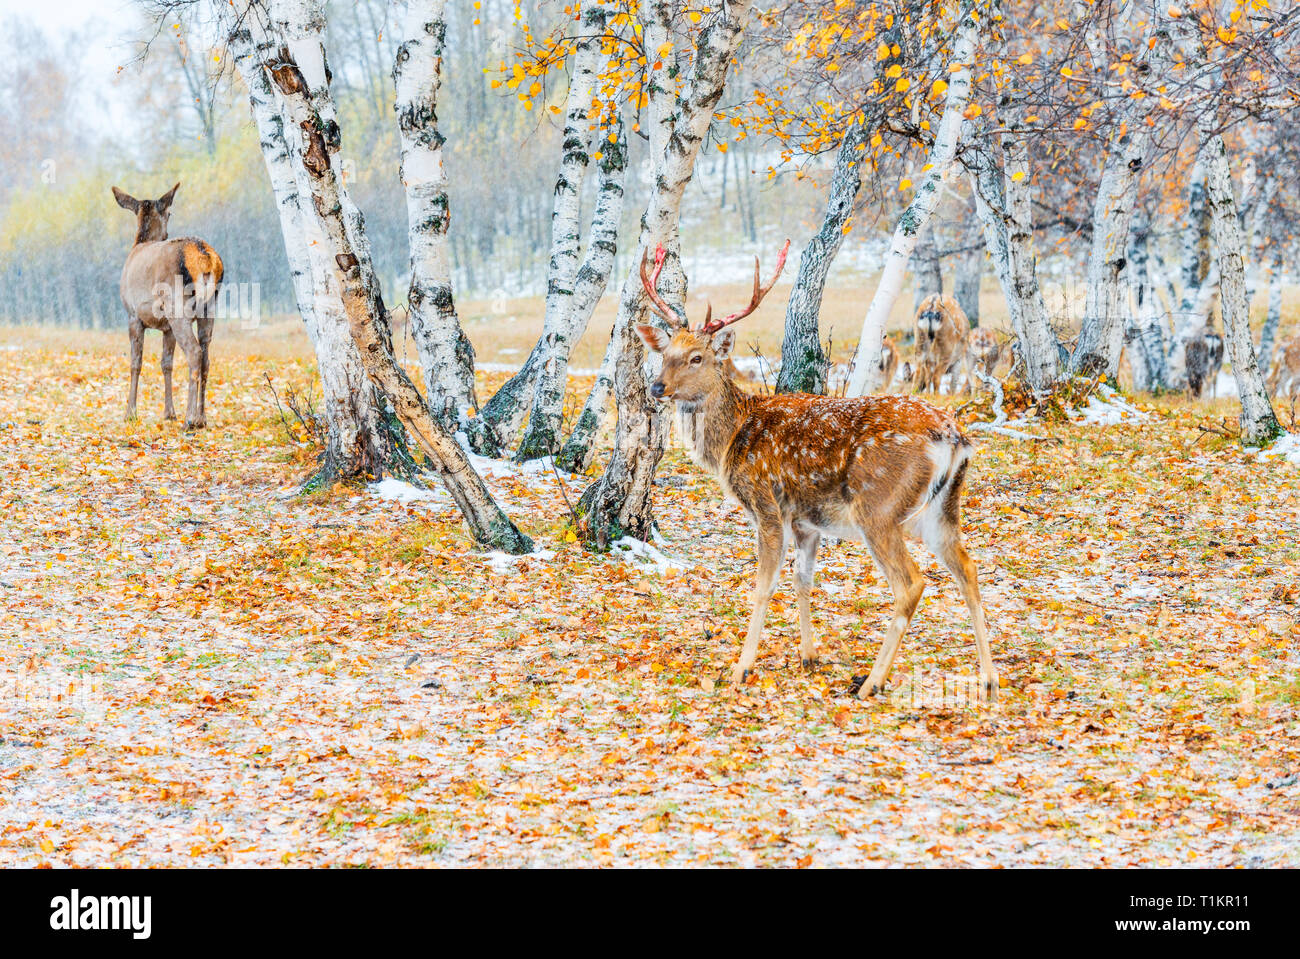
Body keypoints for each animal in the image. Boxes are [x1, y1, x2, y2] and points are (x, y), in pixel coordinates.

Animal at [112, 182, 224, 429]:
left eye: (169, 213)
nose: (166, 234)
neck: (139, 243)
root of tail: (205, 257)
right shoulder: (166, 327)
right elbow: (166, 363)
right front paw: (169, 413)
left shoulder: (133, 315)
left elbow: (136, 363)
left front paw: (130, 413)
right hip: (209, 308)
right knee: (206, 356)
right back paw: (201, 418)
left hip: (178, 307)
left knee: (194, 352)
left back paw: (190, 420)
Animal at [634, 243, 999, 702]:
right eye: (665, 355)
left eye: (697, 357)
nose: (657, 387)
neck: (734, 437)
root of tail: (954, 437)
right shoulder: (807, 521)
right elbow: (802, 579)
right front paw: (809, 657)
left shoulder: (767, 505)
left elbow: (764, 584)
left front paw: (740, 669)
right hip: (940, 509)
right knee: (967, 567)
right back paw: (988, 679)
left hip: (878, 507)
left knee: (911, 583)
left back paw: (872, 682)